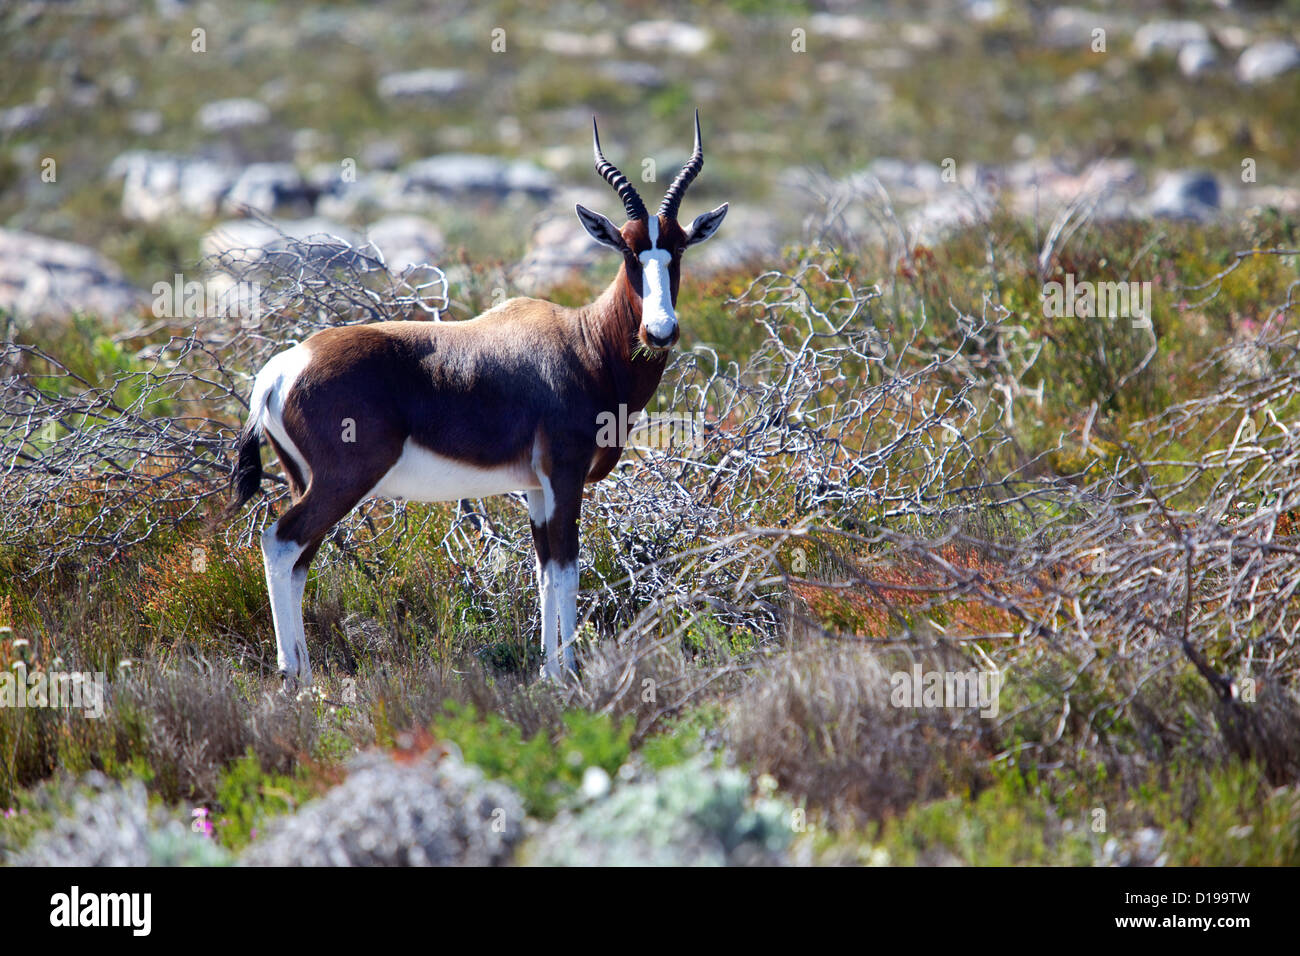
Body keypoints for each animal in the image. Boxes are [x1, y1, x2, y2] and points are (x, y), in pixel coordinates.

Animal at [226, 112, 727, 685]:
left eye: (679, 248)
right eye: (627, 250)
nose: (660, 331)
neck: (581, 341)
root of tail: (284, 367)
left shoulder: (535, 488)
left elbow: (544, 572)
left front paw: (548, 672)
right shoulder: (565, 475)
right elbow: (568, 568)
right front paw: (568, 676)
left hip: (305, 480)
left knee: (298, 560)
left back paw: (306, 670)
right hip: (342, 480)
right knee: (280, 541)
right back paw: (294, 674)